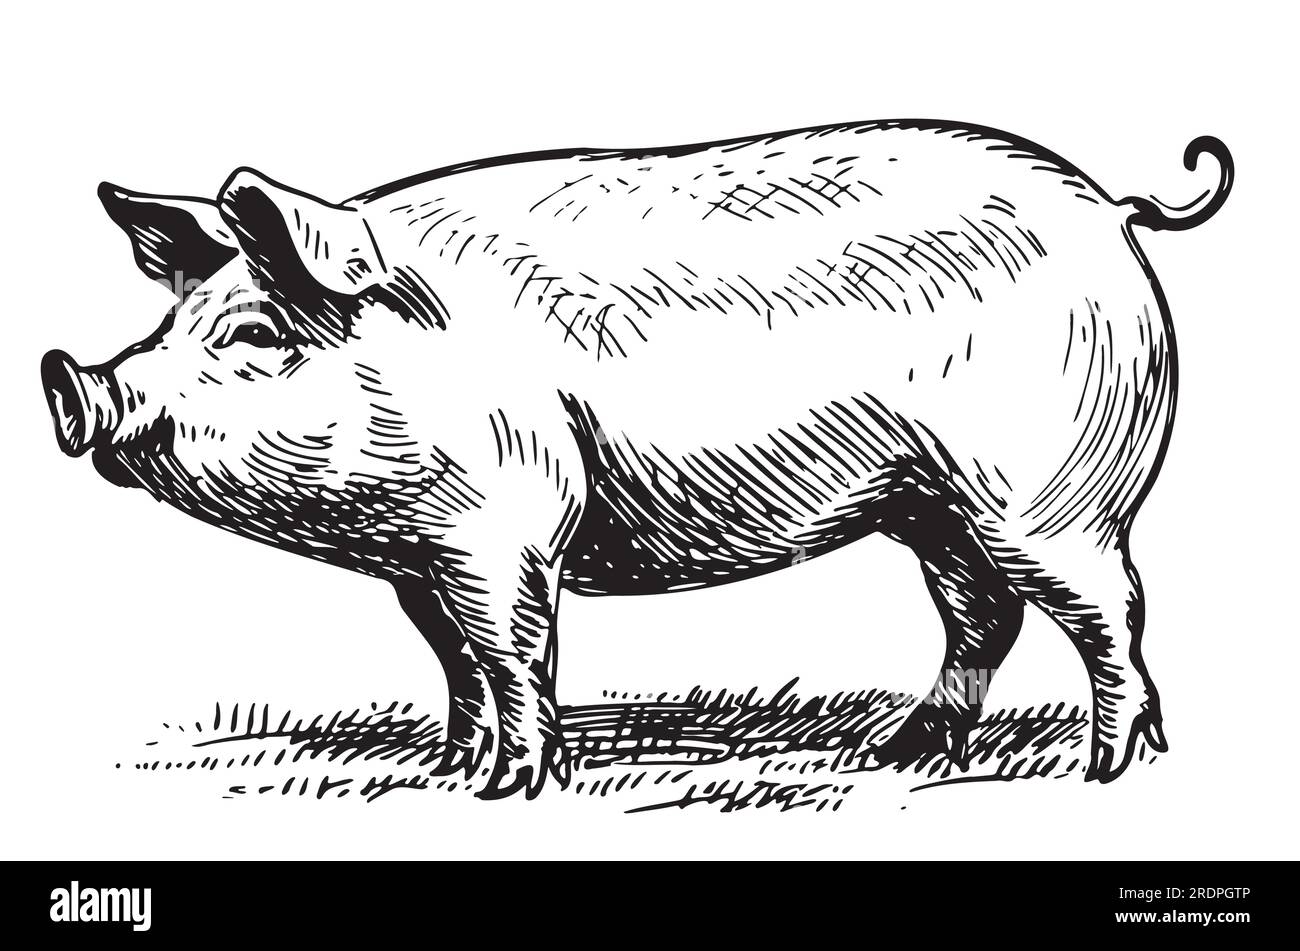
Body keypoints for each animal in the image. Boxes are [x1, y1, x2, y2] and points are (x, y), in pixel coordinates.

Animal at [41, 119, 1232, 798]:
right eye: (172, 324)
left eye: (257, 334)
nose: (66, 379)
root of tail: (1112, 209)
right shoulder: (420, 559)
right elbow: (453, 660)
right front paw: (445, 768)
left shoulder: (503, 531)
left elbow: (511, 651)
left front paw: (509, 790)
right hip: (929, 502)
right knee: (983, 614)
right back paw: (904, 753)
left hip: (1049, 493)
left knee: (1110, 613)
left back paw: (1106, 768)